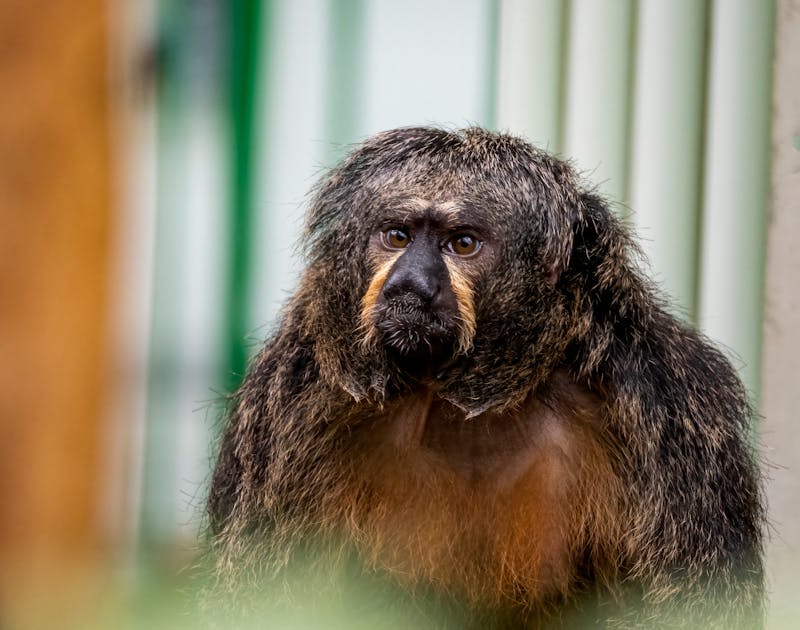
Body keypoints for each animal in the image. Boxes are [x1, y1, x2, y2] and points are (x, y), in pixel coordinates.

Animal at [205, 127, 764, 628]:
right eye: (397, 237)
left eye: (463, 244)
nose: (409, 285)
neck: (459, 398)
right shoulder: (287, 405)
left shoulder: (670, 413)